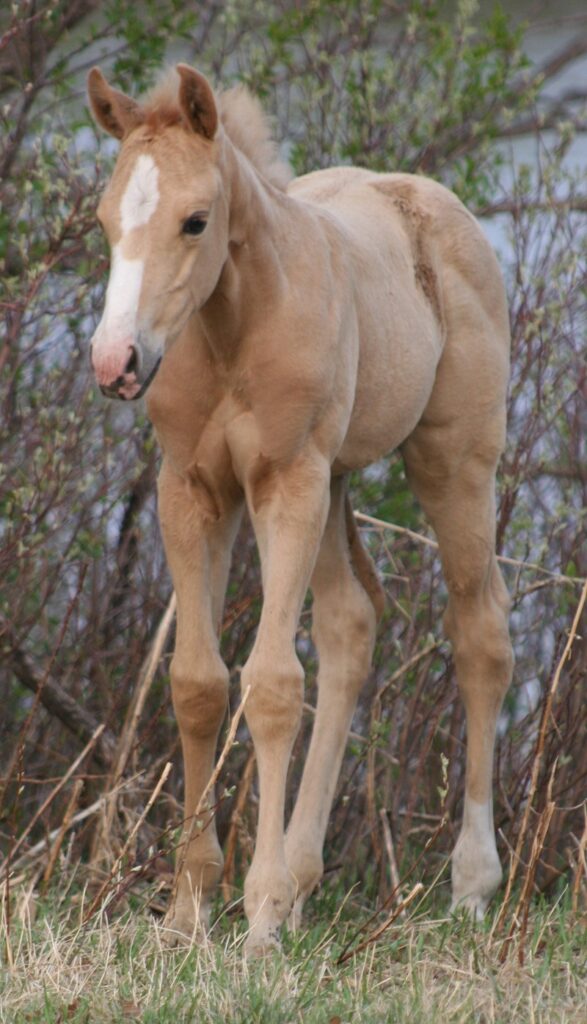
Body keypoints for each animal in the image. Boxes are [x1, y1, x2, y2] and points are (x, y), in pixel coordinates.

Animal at [87, 63, 514, 955]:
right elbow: (199, 684)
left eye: (195, 220)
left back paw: (468, 885)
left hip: (450, 461)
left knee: (480, 630)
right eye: (106, 221)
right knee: (353, 621)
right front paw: (189, 911)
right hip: (336, 477)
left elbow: (274, 682)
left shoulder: (285, 482)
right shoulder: (193, 489)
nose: (116, 363)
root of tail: (432, 200)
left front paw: (255, 923)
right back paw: (304, 878)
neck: (231, 327)